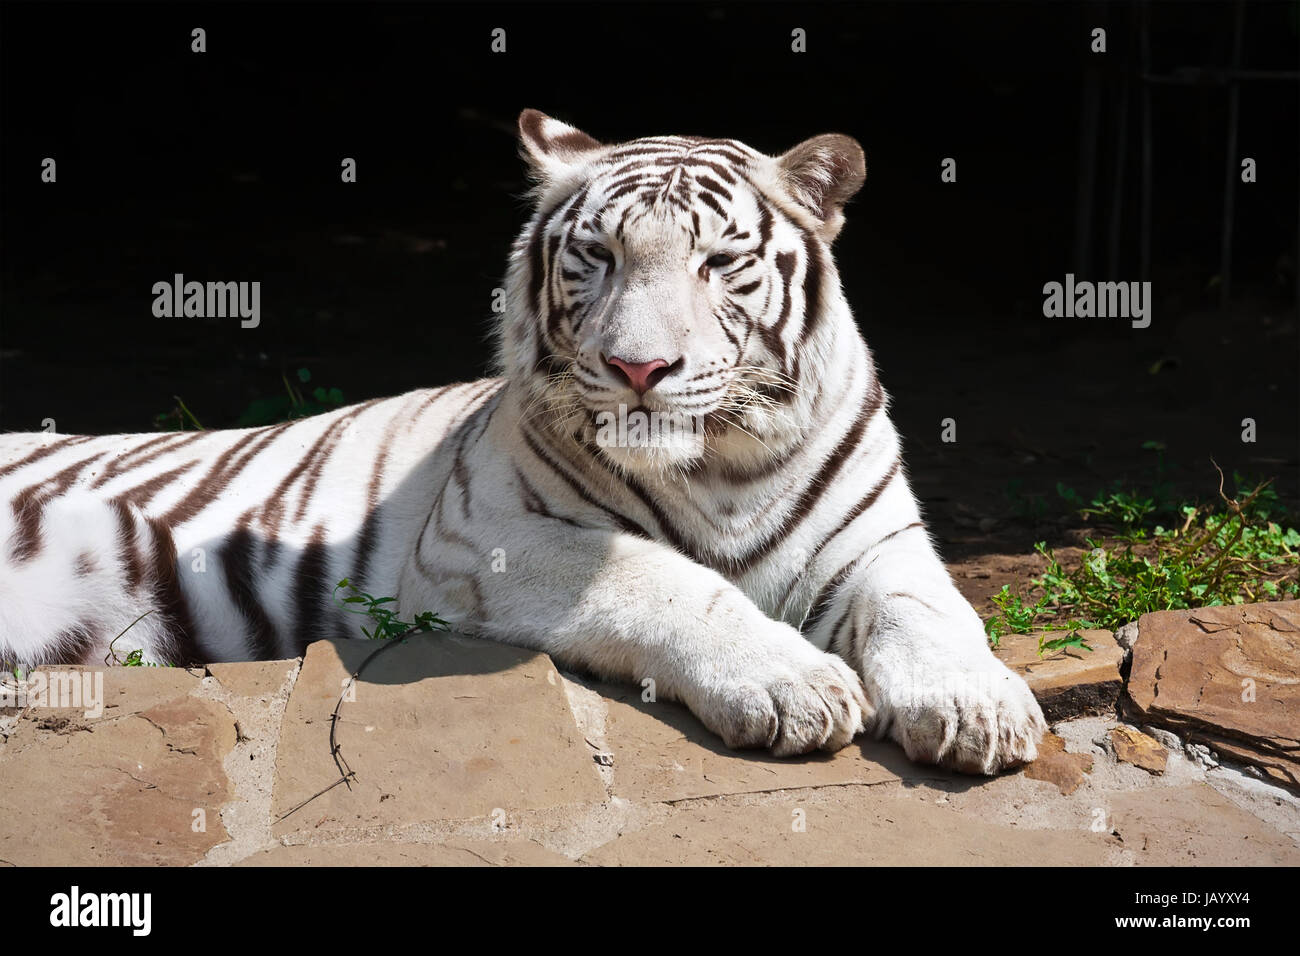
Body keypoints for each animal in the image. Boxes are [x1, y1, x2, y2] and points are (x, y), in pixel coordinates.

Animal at [0, 110, 1046, 774]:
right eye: (600, 257)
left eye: (719, 264)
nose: (639, 367)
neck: (720, 464)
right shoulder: (484, 539)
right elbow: (666, 580)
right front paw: (794, 687)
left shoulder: (880, 544)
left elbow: (933, 612)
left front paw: (979, 708)